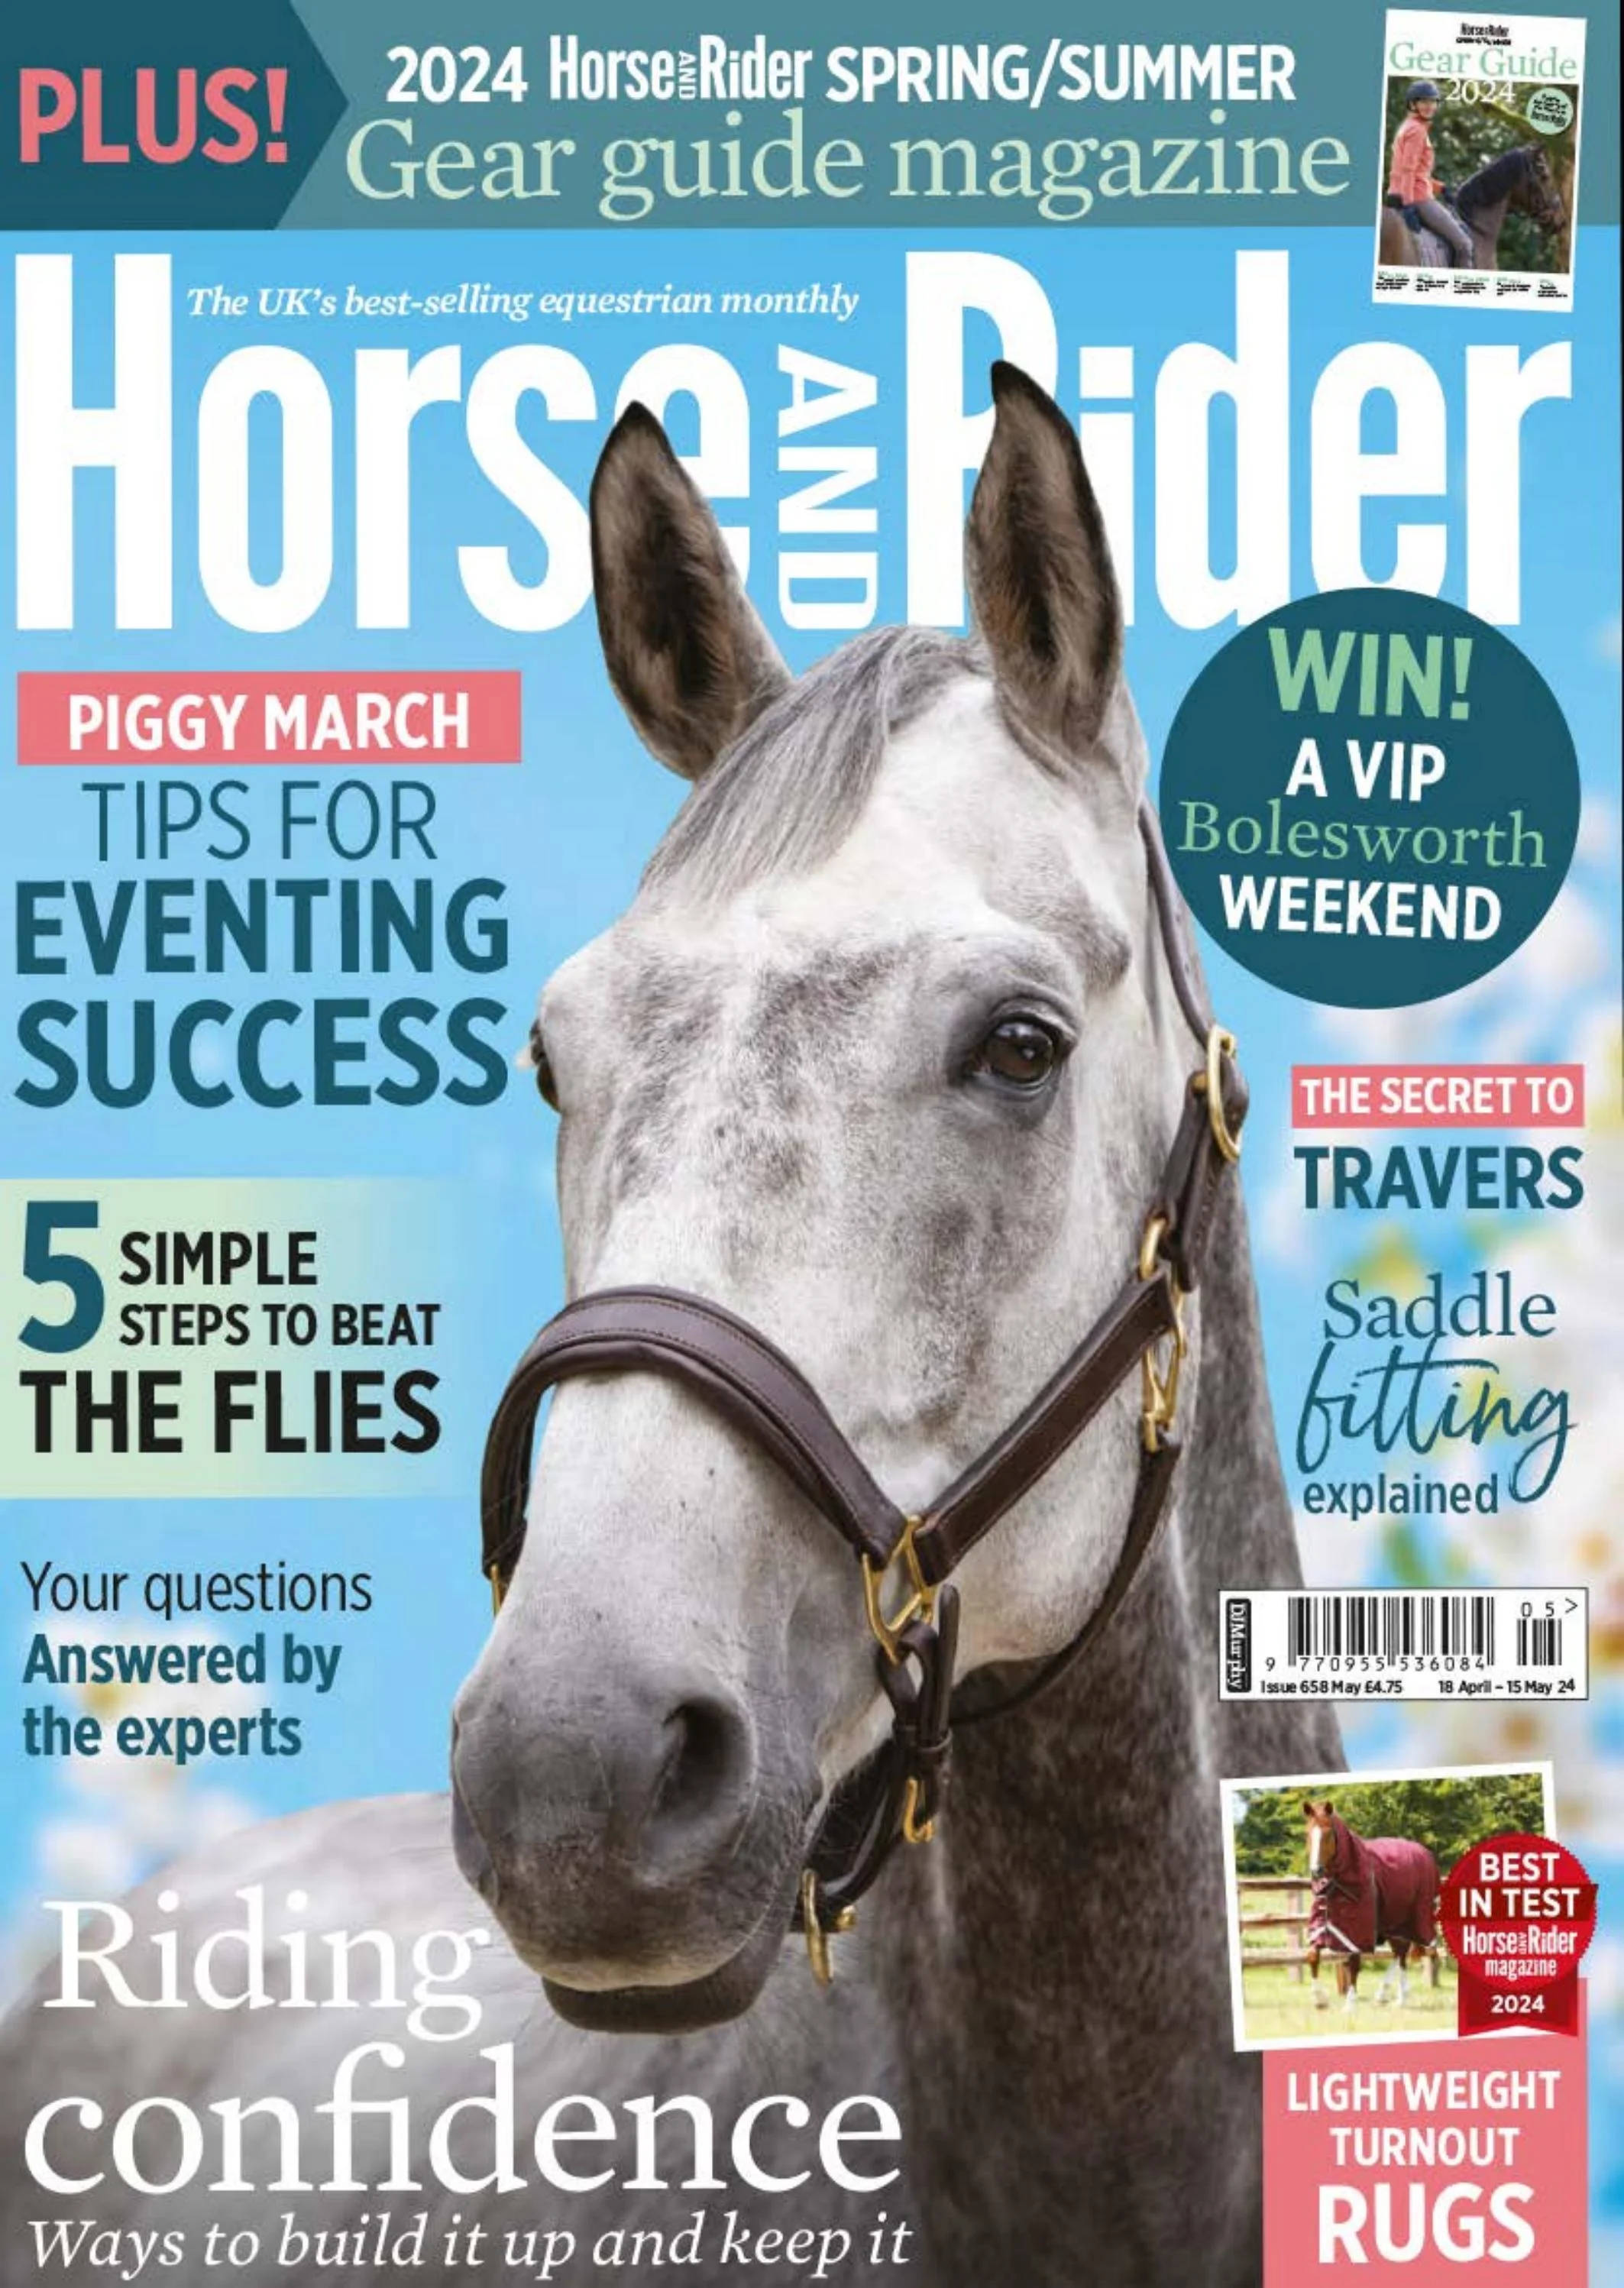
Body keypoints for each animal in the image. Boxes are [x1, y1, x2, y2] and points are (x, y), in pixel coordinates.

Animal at [1303, 1801, 1440, 2015]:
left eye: (1328, 1834)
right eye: (1308, 1833)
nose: (1316, 1871)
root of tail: (1425, 1852)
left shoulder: (1358, 1929)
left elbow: (1354, 1962)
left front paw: (1350, 2004)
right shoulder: (1324, 1924)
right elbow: (1312, 1955)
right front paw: (1320, 2000)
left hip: (1415, 1918)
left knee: (1407, 1952)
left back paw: (1394, 1997)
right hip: (1394, 1923)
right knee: (1400, 1954)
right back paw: (1393, 1997)